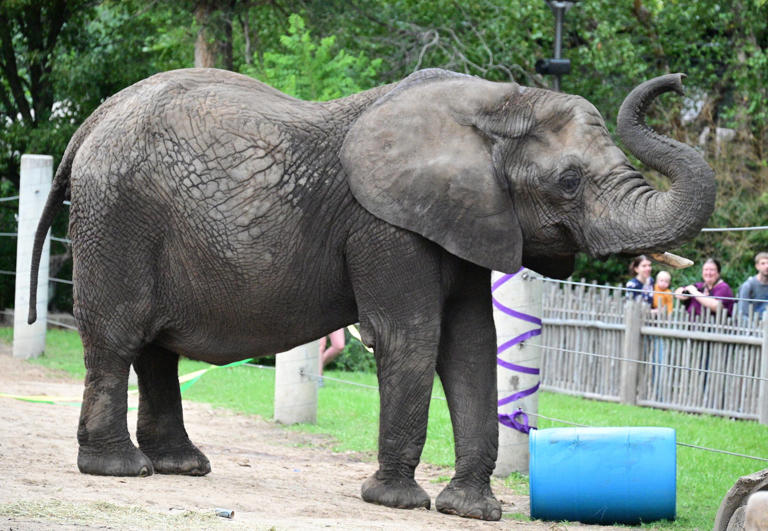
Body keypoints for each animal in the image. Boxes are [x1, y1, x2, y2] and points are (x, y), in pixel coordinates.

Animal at [28, 67, 715, 521]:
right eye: (569, 181)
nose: (678, 80)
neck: (492, 104)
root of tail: (91, 122)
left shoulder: (465, 218)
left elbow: (471, 344)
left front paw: (471, 511)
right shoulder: (384, 225)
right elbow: (411, 336)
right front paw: (396, 502)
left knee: (154, 348)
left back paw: (182, 466)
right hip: (116, 215)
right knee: (119, 339)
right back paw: (120, 470)